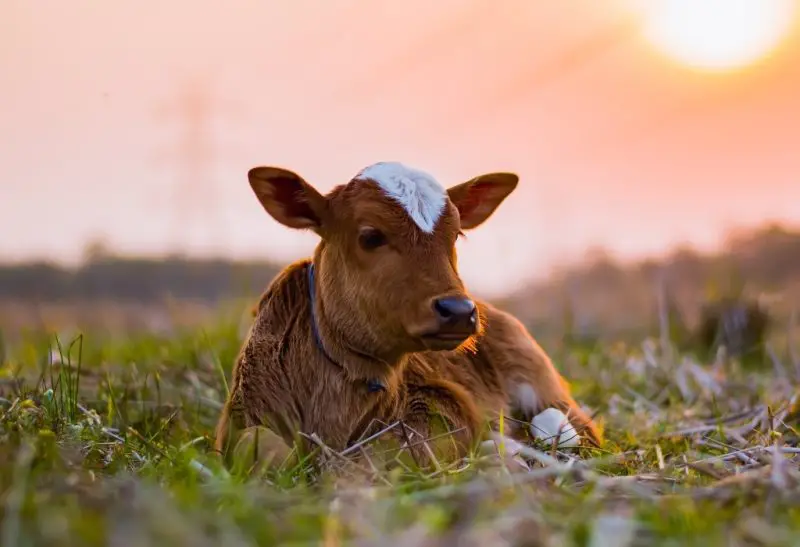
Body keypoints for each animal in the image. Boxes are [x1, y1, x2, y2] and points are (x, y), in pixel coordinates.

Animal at [215, 161, 601, 469]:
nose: (459, 311)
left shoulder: (442, 401)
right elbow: (260, 446)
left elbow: (398, 447)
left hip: (539, 376)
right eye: (371, 236)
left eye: (456, 235)